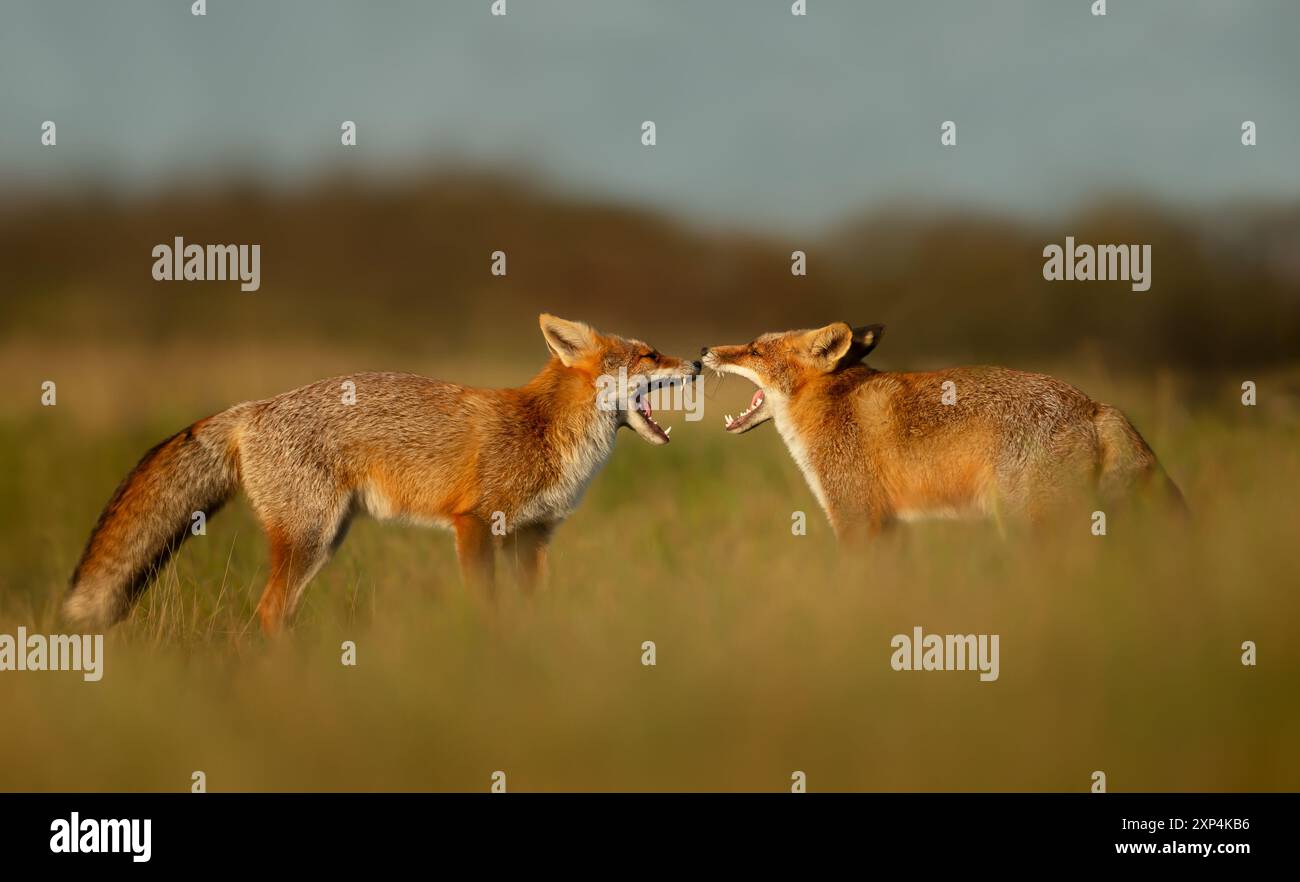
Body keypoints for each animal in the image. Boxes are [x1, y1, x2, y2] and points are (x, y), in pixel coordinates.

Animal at [64, 315, 699, 635]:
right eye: (648, 355)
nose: (696, 360)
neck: (546, 432)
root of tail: (254, 408)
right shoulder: (474, 523)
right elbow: (486, 606)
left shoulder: (532, 537)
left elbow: (531, 610)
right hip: (310, 537)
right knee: (268, 611)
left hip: (326, 539)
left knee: (281, 611)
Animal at [701, 322, 1185, 539]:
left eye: (754, 350)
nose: (704, 349)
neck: (831, 407)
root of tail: (1095, 406)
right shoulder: (888, 524)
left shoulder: (857, 517)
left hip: (1027, 524)